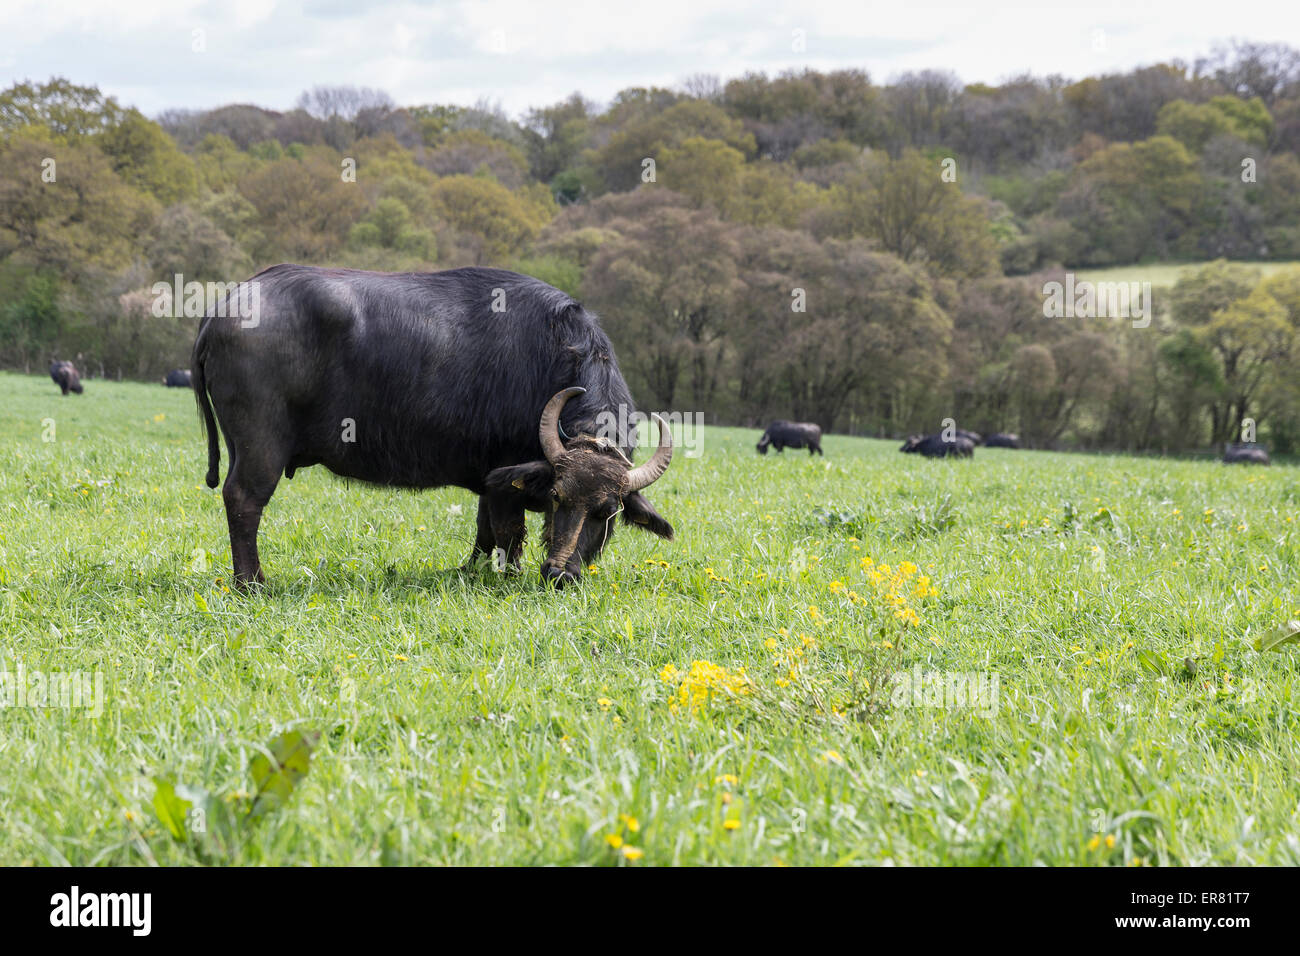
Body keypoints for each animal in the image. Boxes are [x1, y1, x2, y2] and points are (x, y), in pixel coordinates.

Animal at [193, 264, 674, 589]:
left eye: (606, 512)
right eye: (557, 498)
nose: (559, 574)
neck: (552, 360)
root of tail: (228, 303)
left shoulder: (494, 479)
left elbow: (483, 530)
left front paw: (471, 570)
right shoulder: (506, 483)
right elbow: (508, 534)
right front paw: (507, 576)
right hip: (261, 447)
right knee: (244, 500)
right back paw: (253, 582)